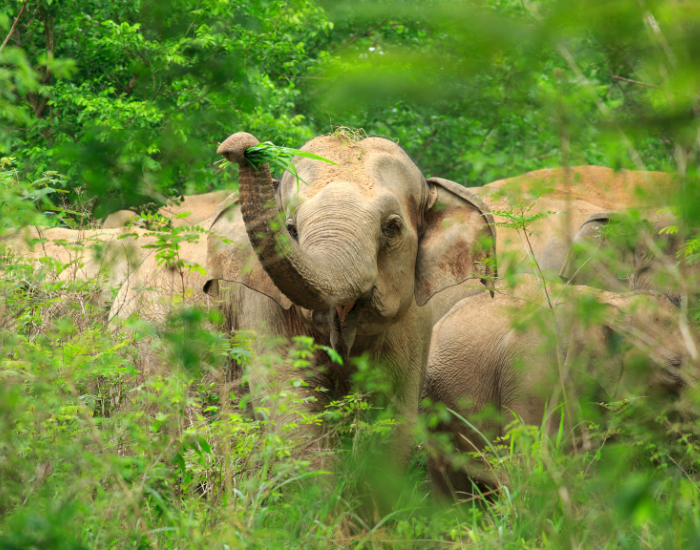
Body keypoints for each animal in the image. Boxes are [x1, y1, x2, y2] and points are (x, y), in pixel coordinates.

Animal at [203, 131, 497, 465]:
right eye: (290, 229)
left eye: (392, 227)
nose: (240, 146)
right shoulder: (264, 310)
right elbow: (292, 405)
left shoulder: (412, 323)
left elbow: (391, 416)